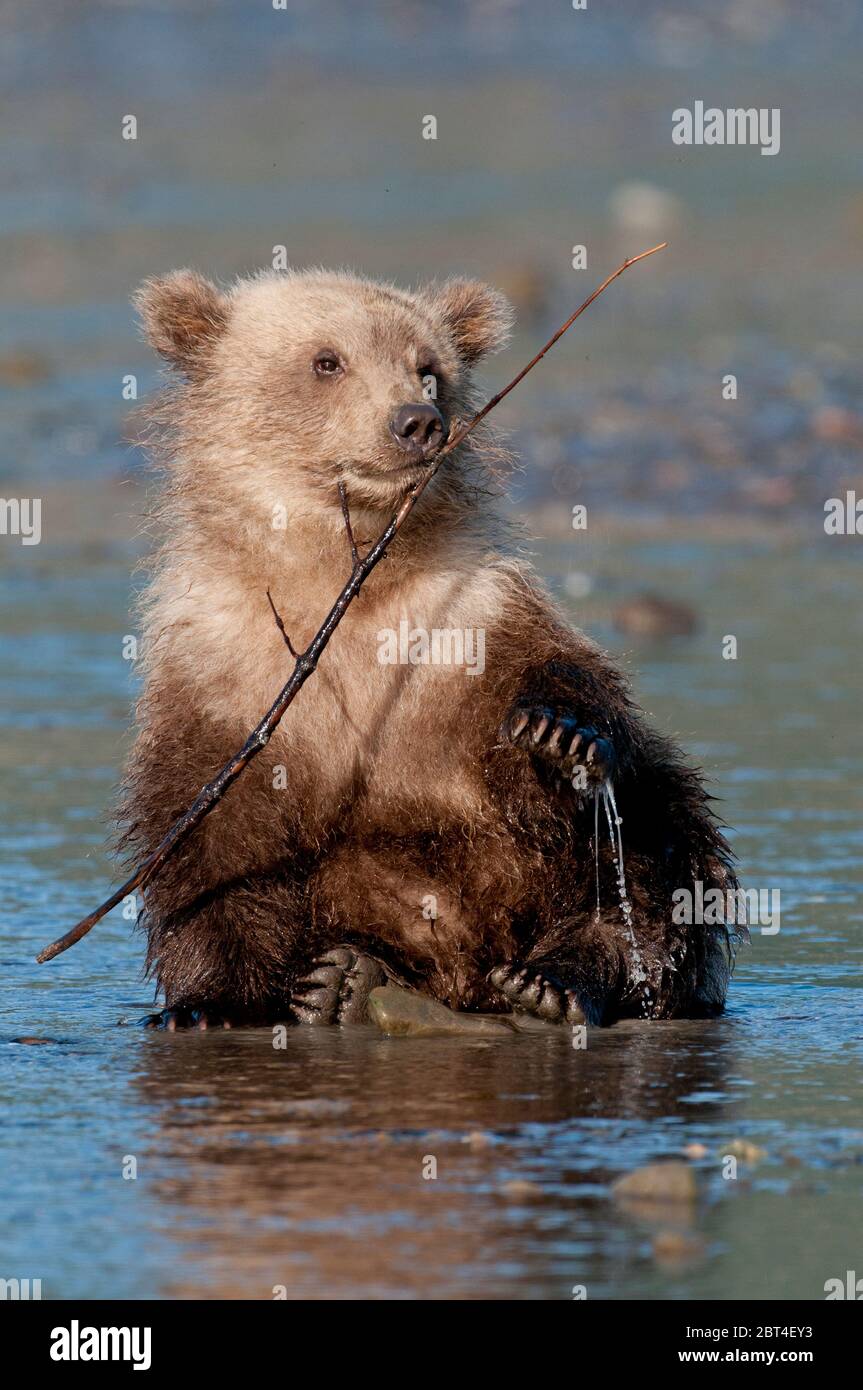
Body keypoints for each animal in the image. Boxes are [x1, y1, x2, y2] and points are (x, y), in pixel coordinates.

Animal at [121, 265, 740, 1030]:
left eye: (428, 368)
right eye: (327, 361)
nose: (416, 421)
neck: (339, 575)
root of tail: (462, 979)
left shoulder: (470, 623)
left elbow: (560, 702)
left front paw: (555, 734)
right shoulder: (222, 673)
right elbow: (209, 852)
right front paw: (207, 1004)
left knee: (659, 852)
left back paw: (553, 980)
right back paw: (343, 981)